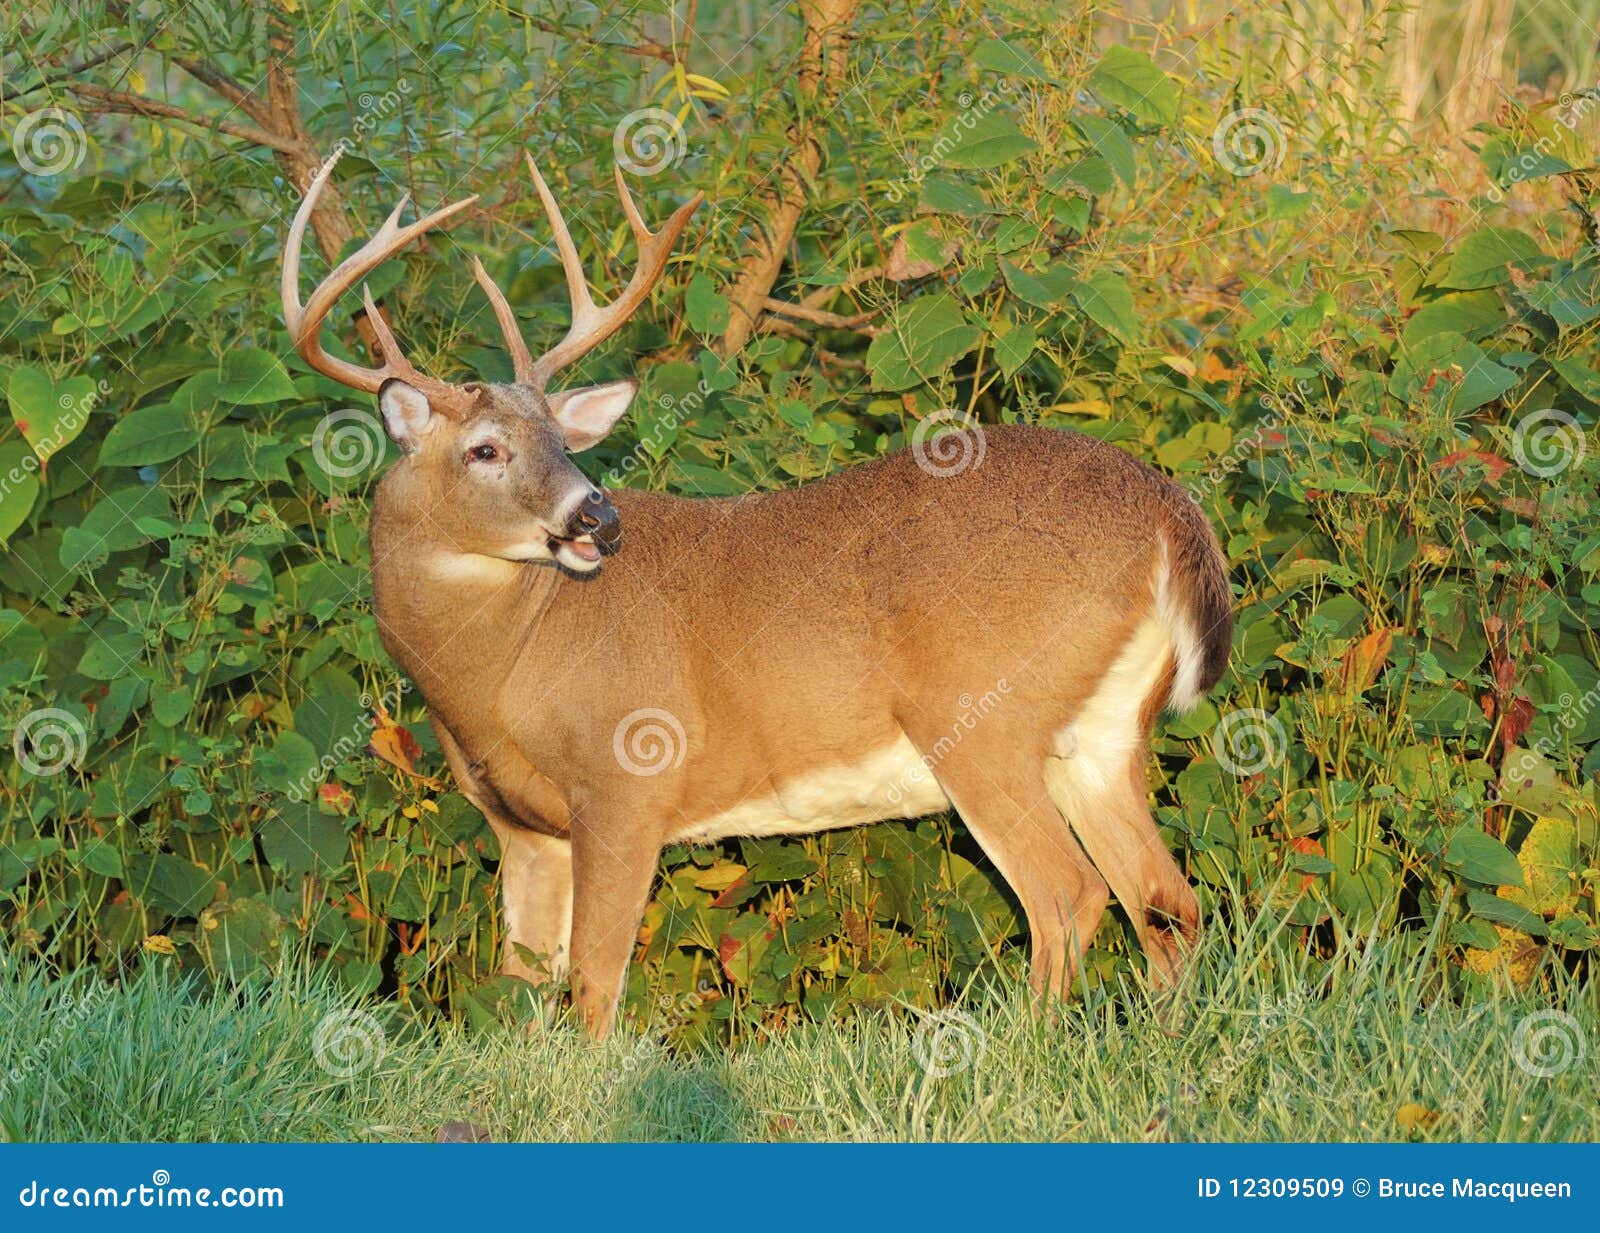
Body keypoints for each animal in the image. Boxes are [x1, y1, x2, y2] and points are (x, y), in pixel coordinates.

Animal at [281, 149, 1233, 1039]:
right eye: (484, 448)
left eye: (560, 437)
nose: (597, 513)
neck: (498, 672)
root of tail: (1166, 509)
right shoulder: (523, 829)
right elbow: (521, 990)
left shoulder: (626, 784)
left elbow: (593, 988)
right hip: (1101, 734)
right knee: (1168, 902)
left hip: (982, 715)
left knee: (1070, 894)